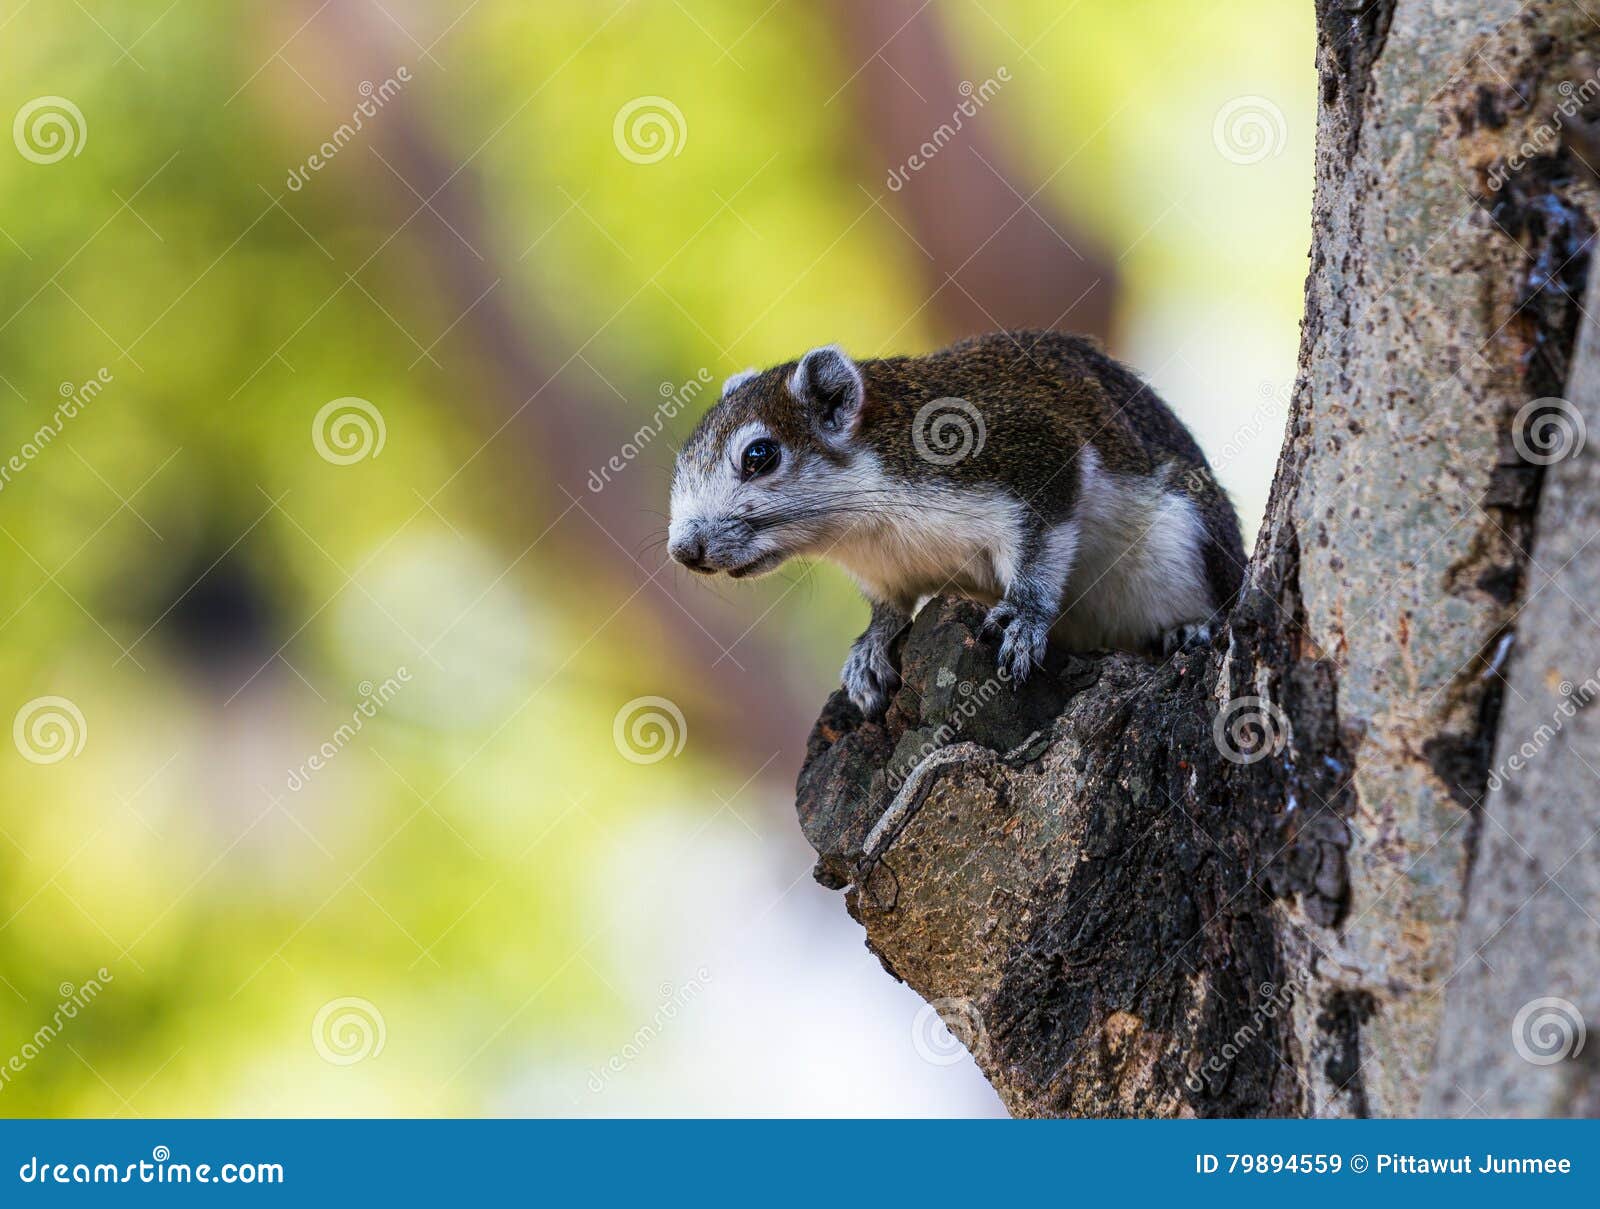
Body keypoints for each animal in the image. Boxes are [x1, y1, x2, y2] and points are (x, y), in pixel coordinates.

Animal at [668, 330, 1247, 717]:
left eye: (759, 455)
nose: (683, 550)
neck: (860, 526)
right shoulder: (885, 569)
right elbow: (890, 607)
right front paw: (872, 644)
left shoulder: (1019, 450)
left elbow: (1041, 545)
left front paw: (1024, 616)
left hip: (1185, 540)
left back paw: (1189, 628)